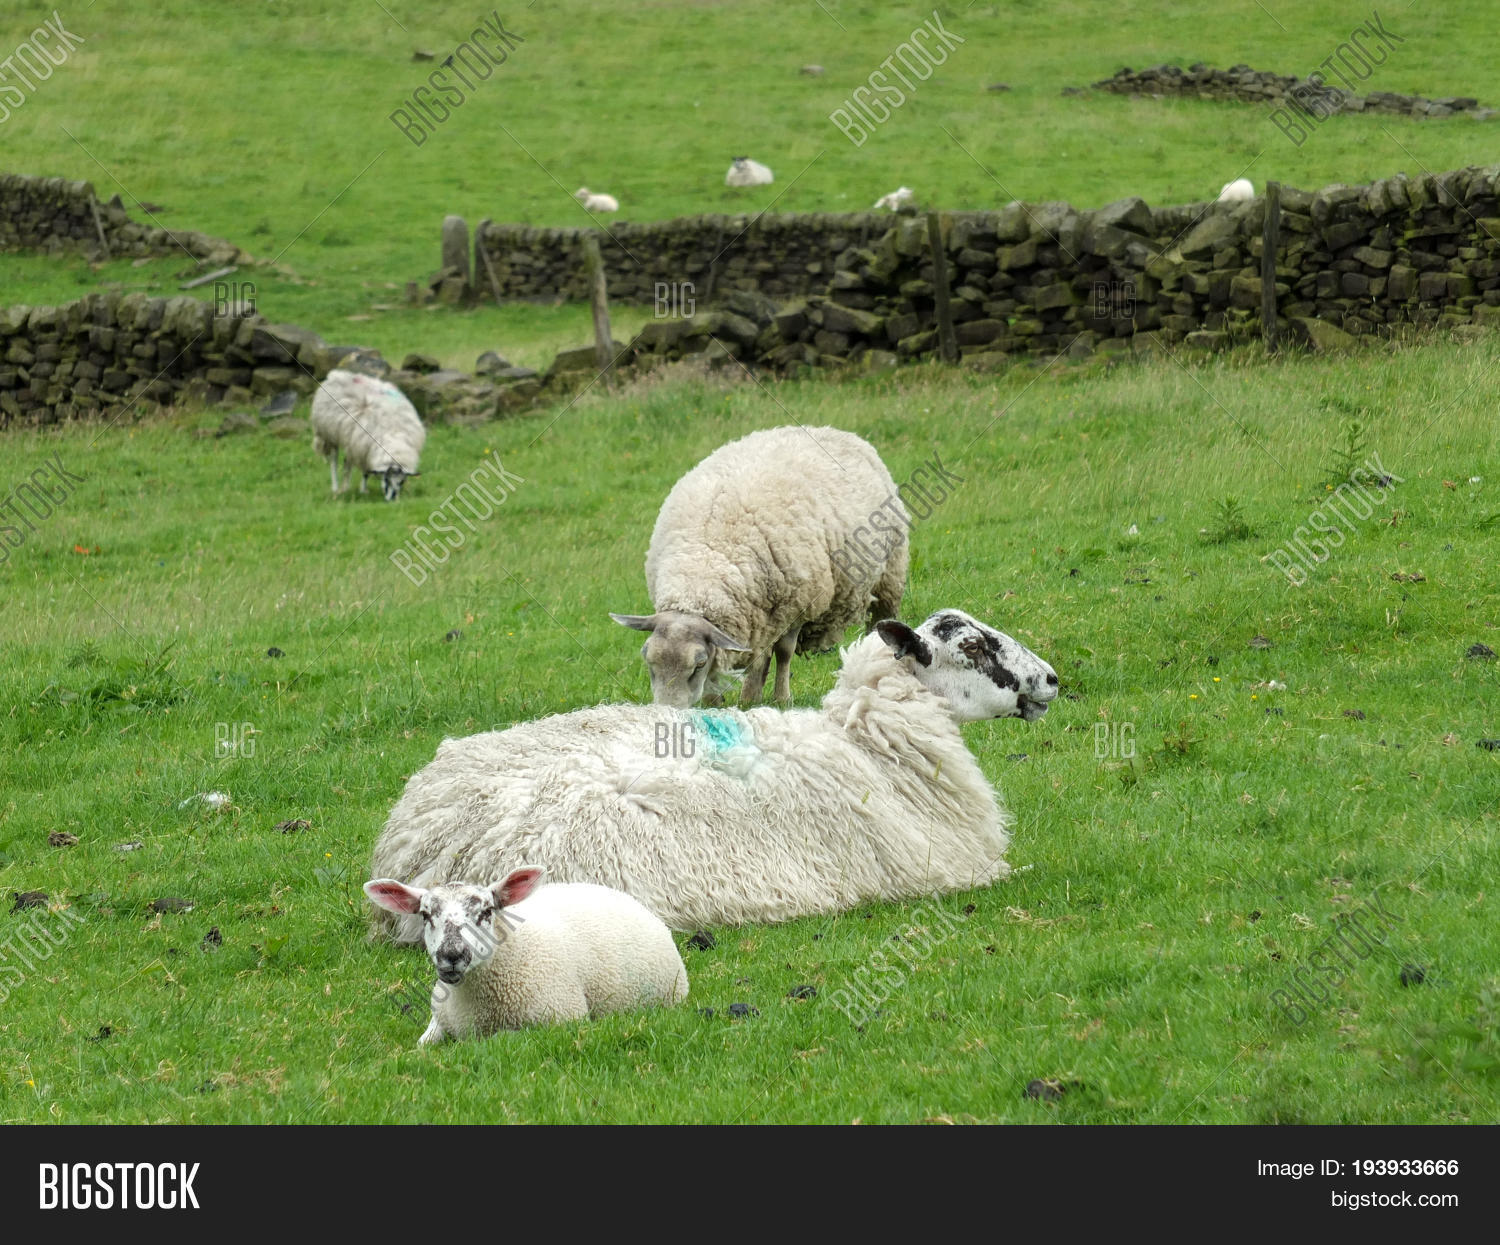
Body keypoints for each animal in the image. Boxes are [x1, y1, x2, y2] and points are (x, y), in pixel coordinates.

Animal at [310, 369, 426, 501]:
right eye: (386, 479)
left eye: (401, 482)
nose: (391, 499)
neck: (393, 436)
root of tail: (337, 374)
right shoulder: (362, 447)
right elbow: (359, 469)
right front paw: (362, 490)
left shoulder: (366, 450)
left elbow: (366, 472)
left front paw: (363, 490)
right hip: (330, 435)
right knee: (334, 462)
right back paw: (336, 487)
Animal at [365, 867, 688, 1043]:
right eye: (426, 914)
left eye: (486, 912)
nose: (451, 954)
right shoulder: (439, 1020)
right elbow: (423, 1045)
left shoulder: (561, 1020)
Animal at [610, 425, 908, 707]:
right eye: (648, 661)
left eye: (698, 664)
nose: (667, 710)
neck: (704, 565)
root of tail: (833, 430)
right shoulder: (757, 617)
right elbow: (756, 657)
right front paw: (721, 701)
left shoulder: (796, 605)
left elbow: (782, 653)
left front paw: (776, 698)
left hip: (889, 577)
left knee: (878, 625)